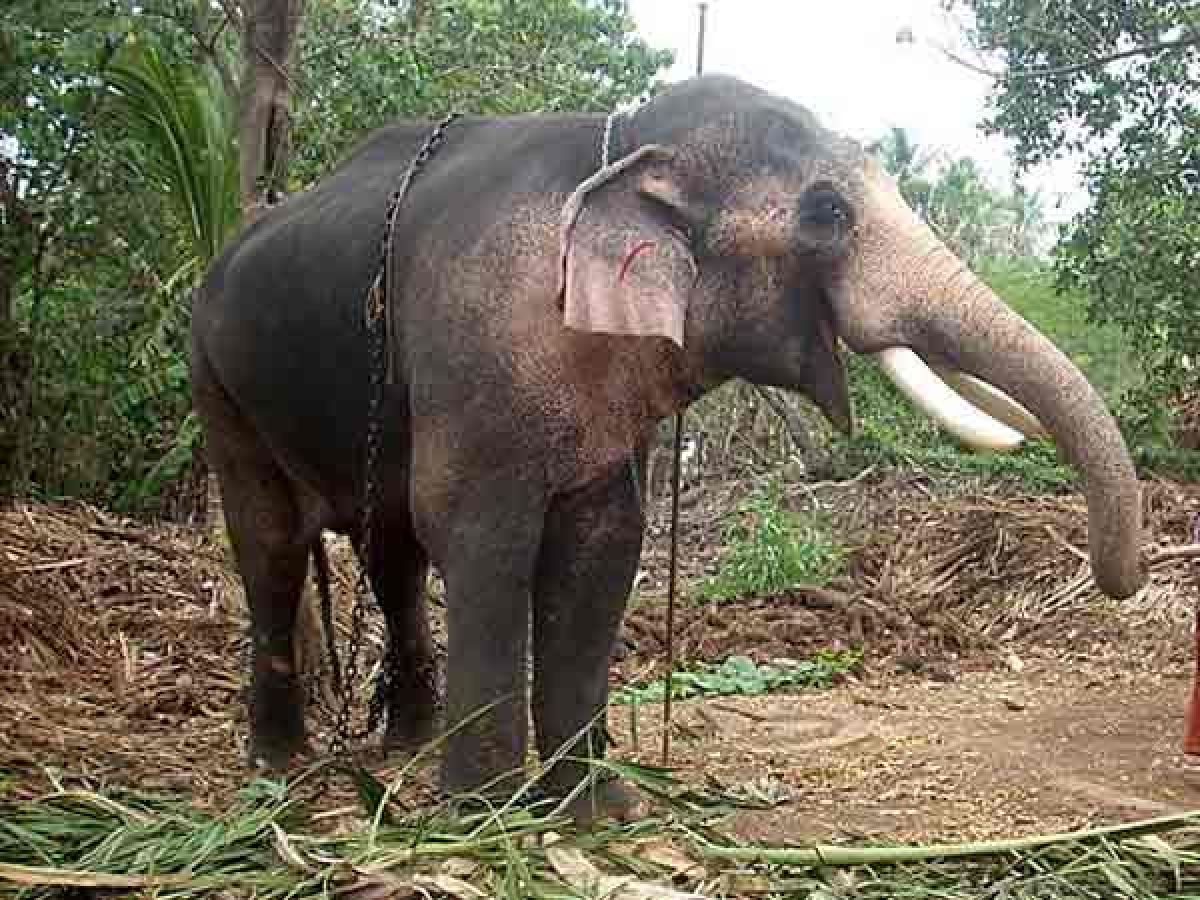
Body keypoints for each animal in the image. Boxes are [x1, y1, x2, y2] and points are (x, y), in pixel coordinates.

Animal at [191, 75, 1145, 822]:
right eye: (827, 213)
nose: (1119, 583)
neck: (618, 146)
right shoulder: (474, 342)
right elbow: (482, 534)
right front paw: (484, 821)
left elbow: (605, 544)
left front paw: (600, 811)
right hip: (217, 381)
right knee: (272, 543)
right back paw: (281, 763)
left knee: (389, 550)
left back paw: (406, 746)